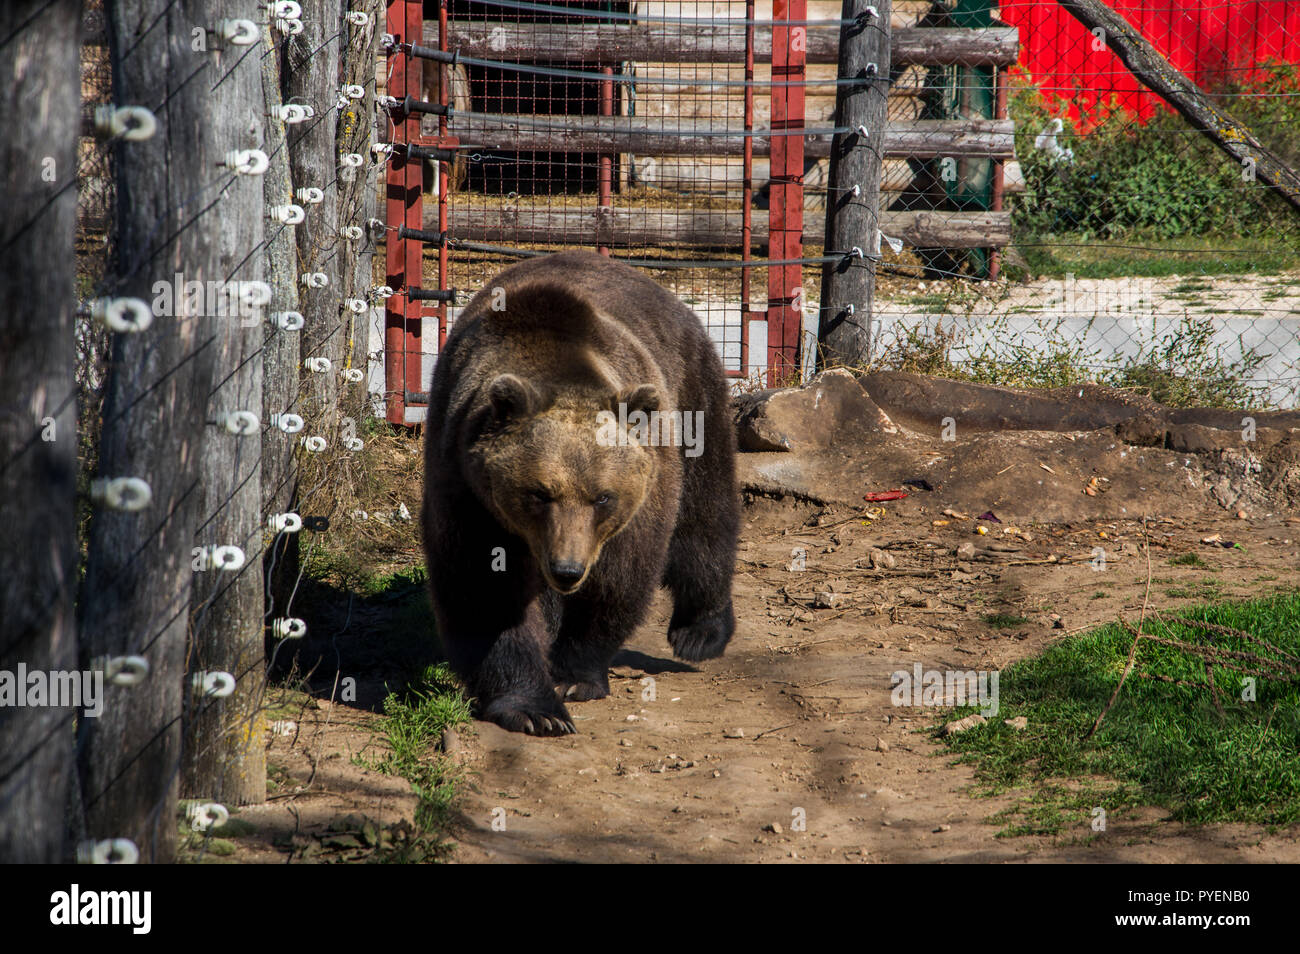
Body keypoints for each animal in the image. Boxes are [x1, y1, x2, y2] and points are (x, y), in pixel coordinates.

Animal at [421, 250, 740, 735]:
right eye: (539, 493)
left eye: (602, 497)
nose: (567, 569)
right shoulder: (465, 484)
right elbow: (484, 587)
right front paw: (535, 709)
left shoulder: (638, 502)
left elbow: (619, 578)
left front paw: (574, 676)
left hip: (691, 391)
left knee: (706, 507)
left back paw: (700, 631)